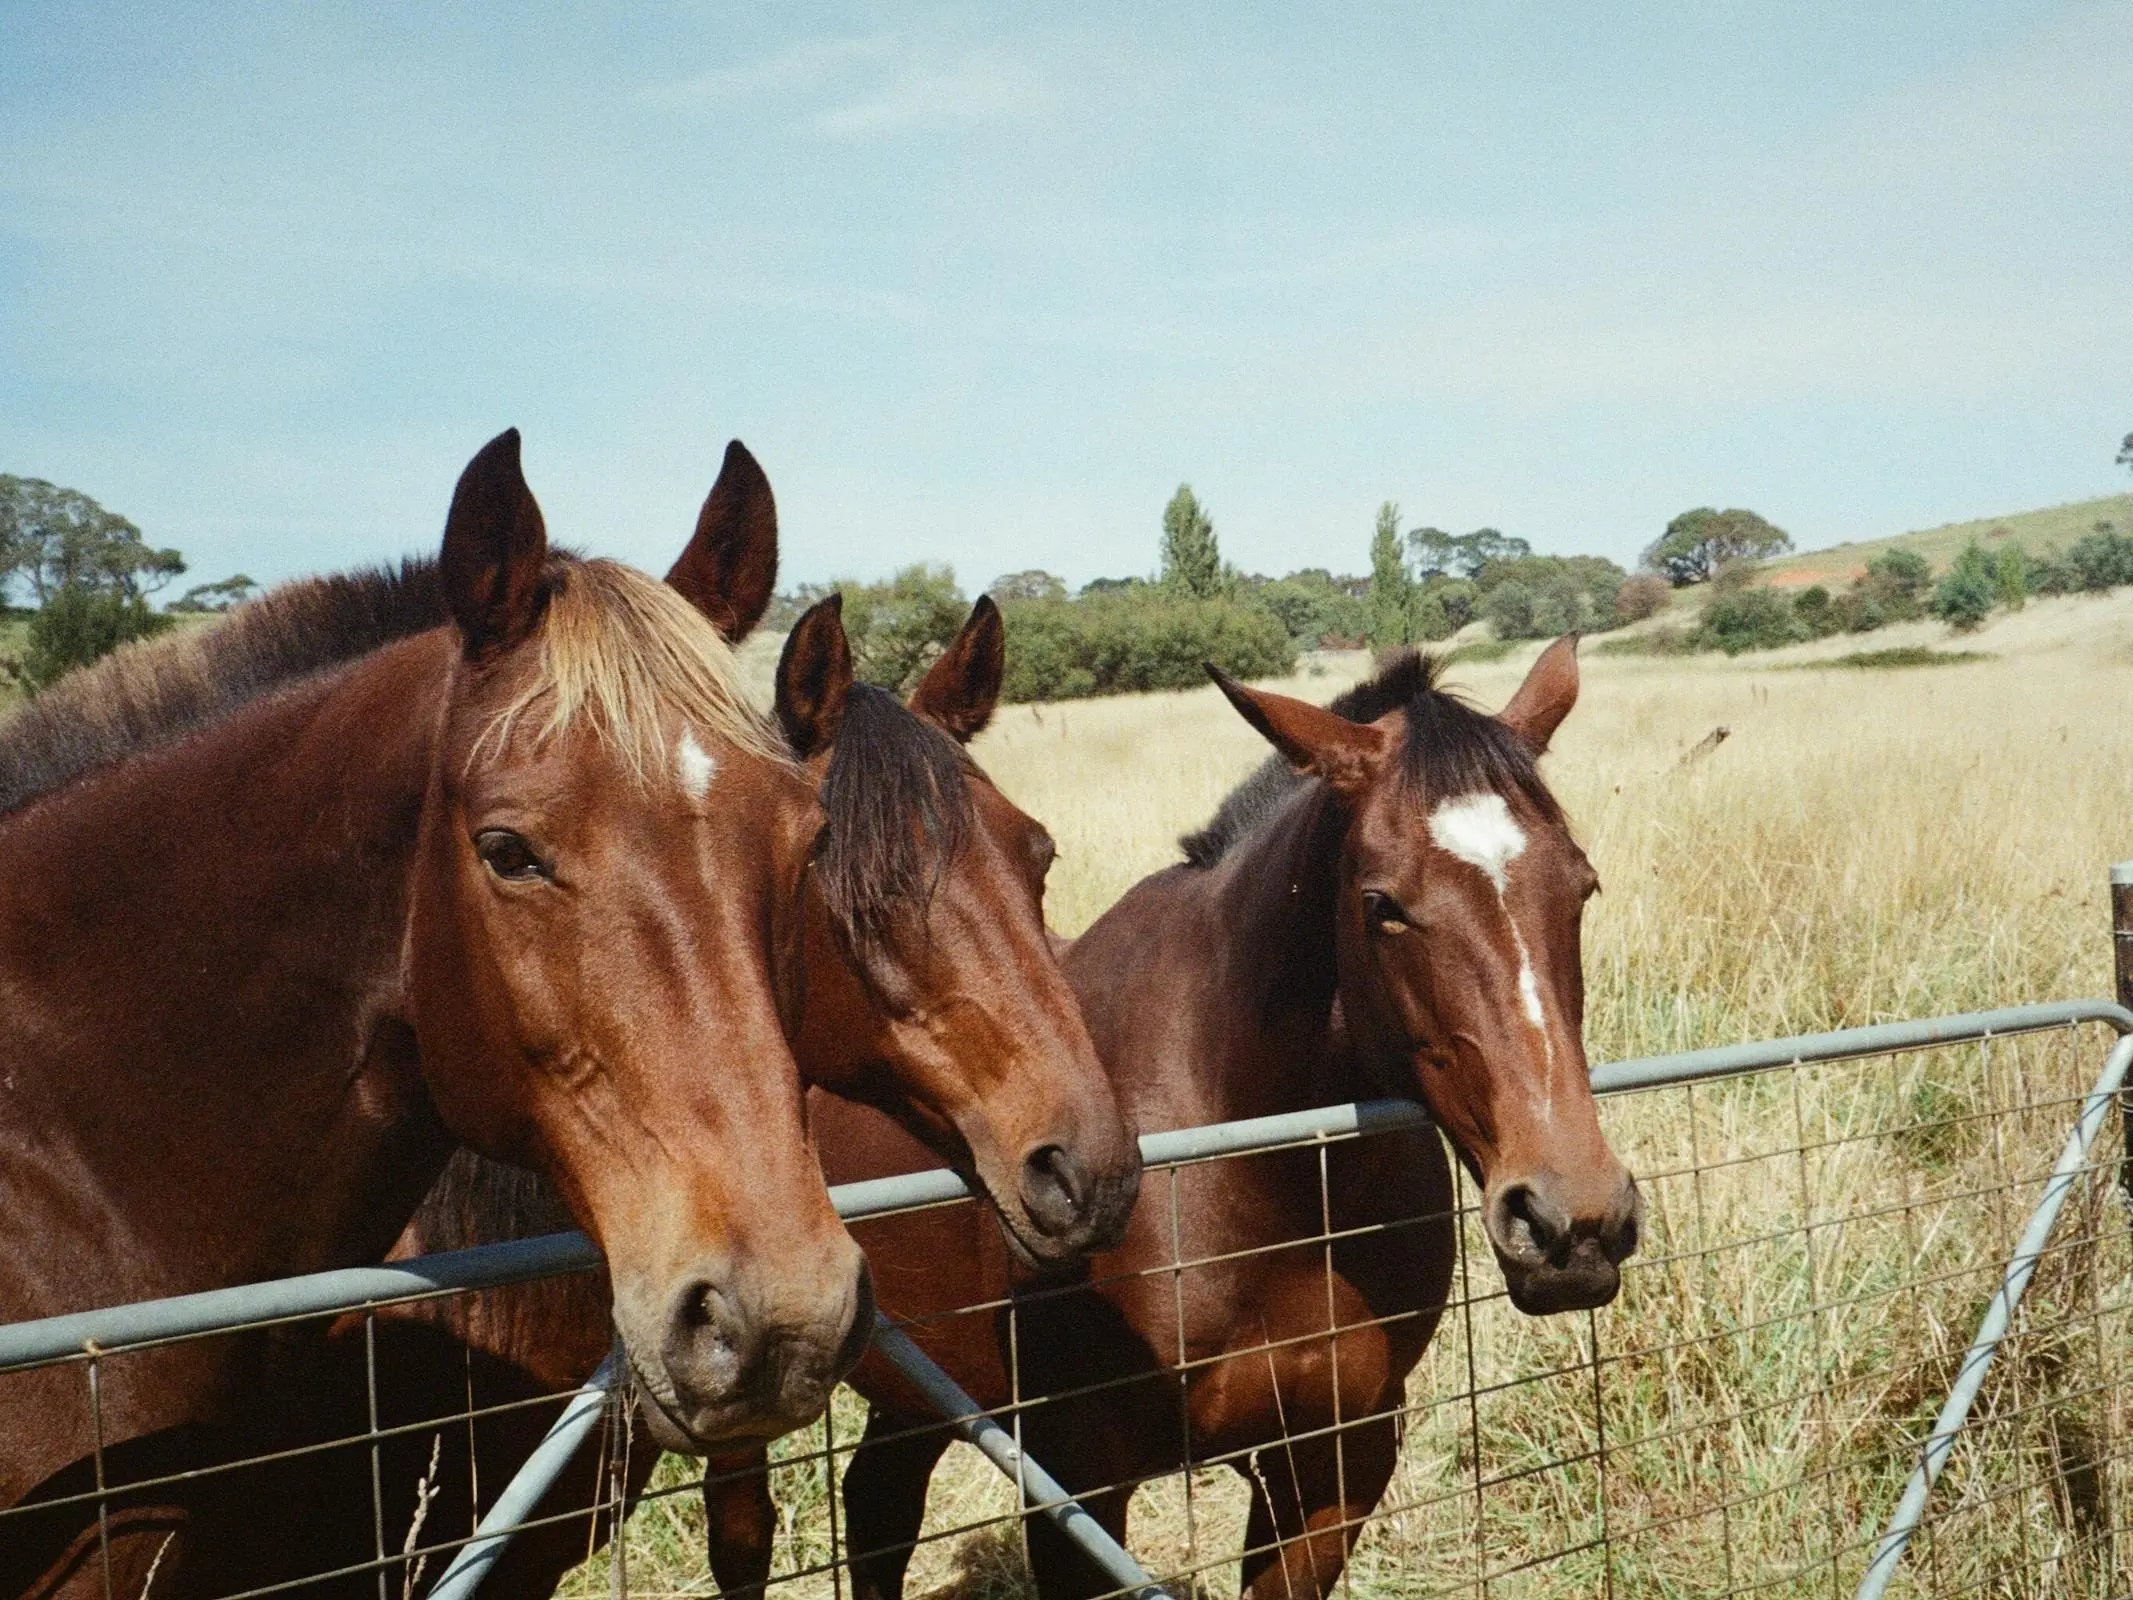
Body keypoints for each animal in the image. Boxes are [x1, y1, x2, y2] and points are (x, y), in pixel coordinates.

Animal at [705, 637, 1642, 1600]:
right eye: (1382, 904)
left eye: (1581, 886)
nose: (1571, 1223)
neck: (1265, 1183)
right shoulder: (1078, 1485)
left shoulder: (1334, 1465)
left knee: (878, 1506)